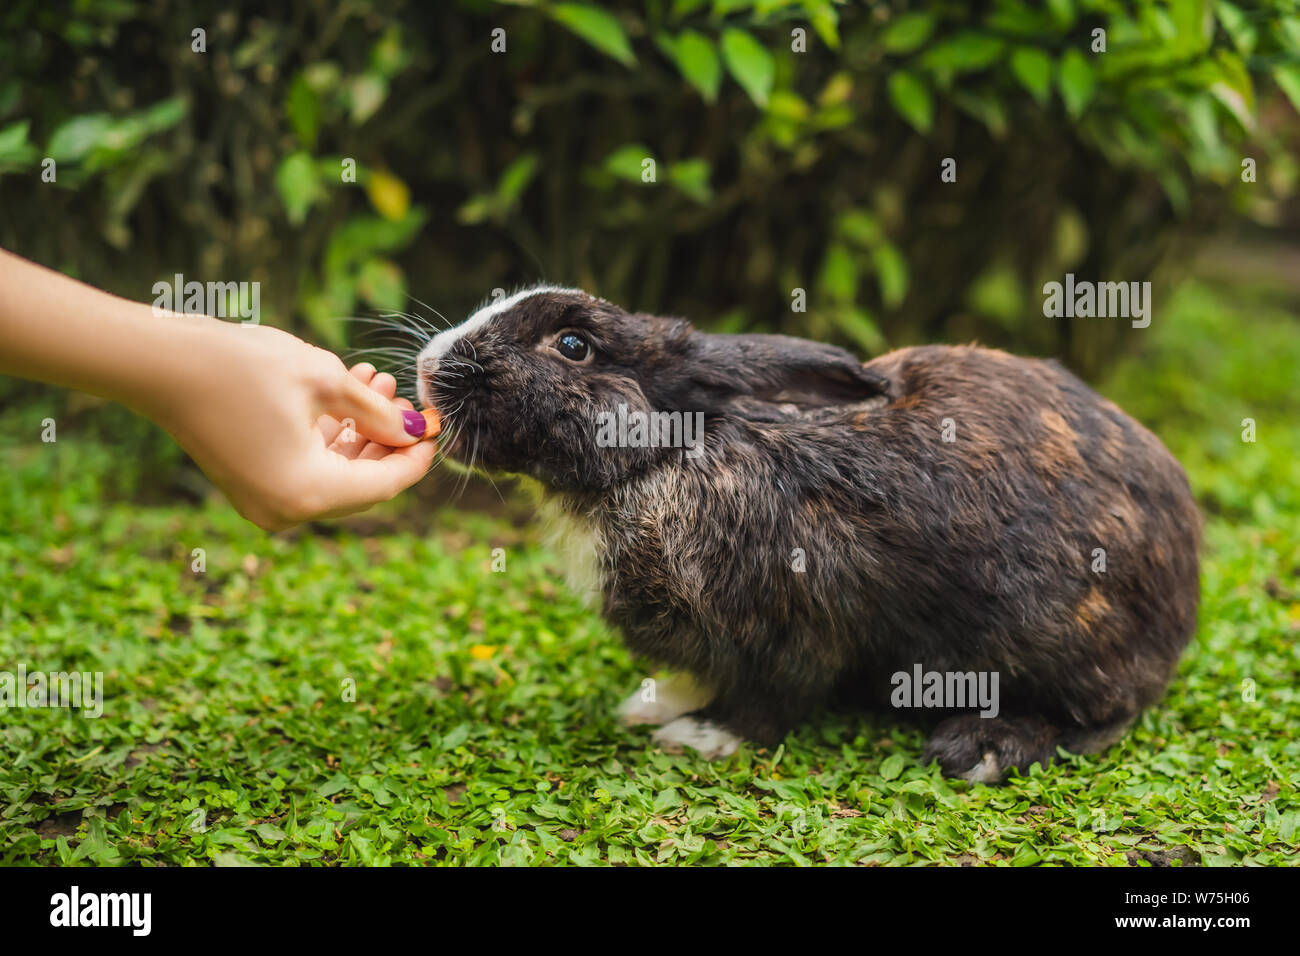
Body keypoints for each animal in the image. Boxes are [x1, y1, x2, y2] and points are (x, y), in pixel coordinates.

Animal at [415, 286, 1201, 781]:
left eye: (573, 345)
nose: (427, 370)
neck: (667, 453)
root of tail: (1183, 597)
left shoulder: (799, 624)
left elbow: (771, 700)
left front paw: (701, 737)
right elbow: (701, 674)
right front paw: (651, 705)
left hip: (1059, 635)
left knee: (1101, 716)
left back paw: (982, 748)